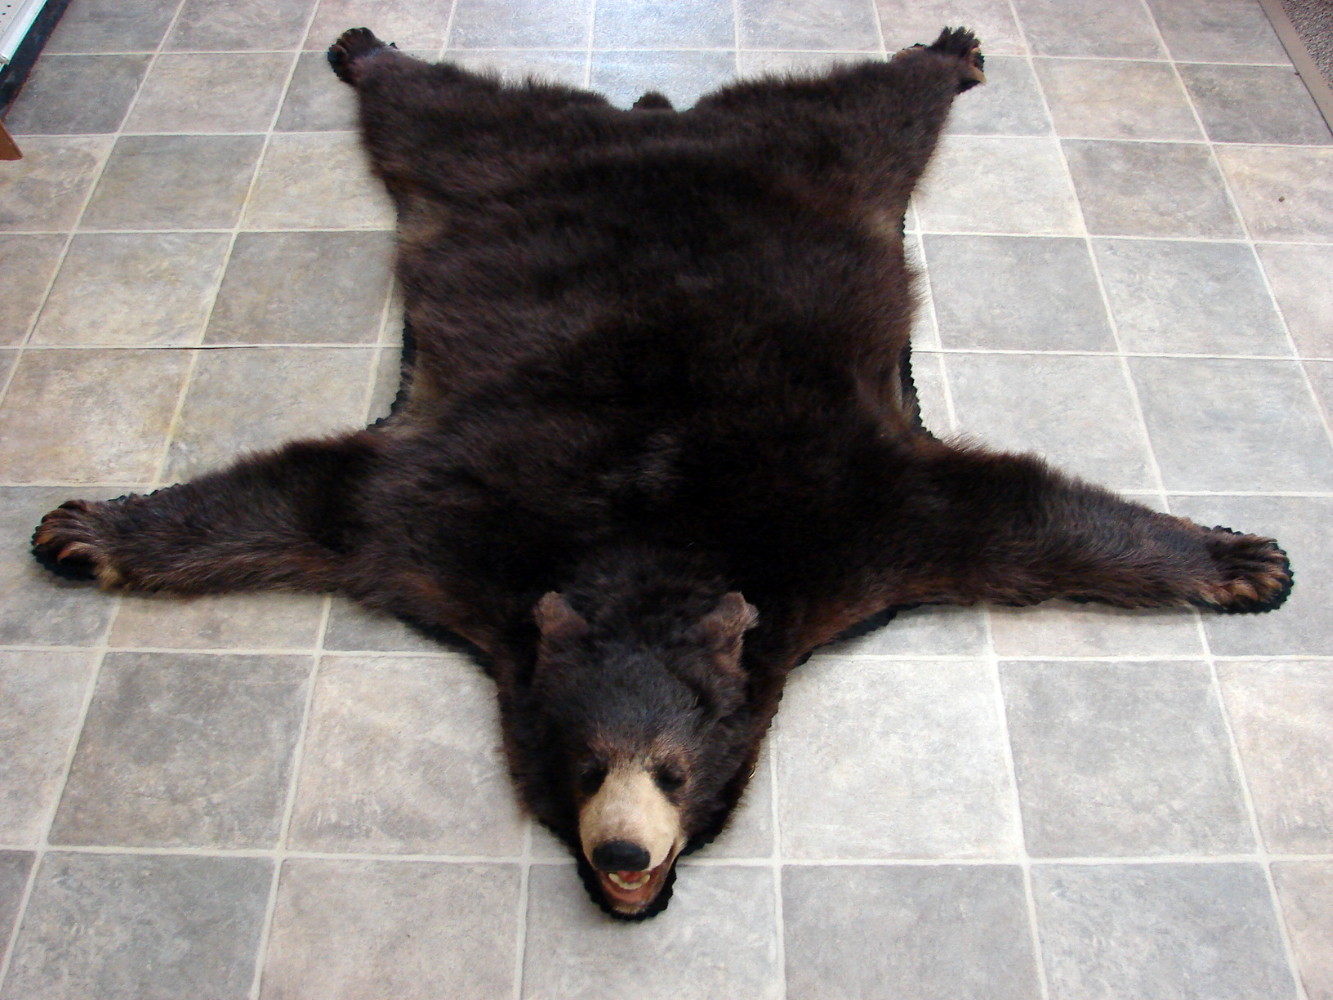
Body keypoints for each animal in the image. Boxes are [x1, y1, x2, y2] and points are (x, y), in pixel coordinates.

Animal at [31, 27, 1292, 921]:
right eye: (589, 764)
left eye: (675, 771)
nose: (625, 852)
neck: (649, 544)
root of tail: (652, 121)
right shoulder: (449, 518)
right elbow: (308, 497)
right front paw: (86, 528)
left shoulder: (854, 520)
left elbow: (1014, 515)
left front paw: (1244, 559)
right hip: (511, 164)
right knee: (437, 114)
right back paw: (365, 45)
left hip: (807, 161)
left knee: (868, 112)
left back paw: (947, 49)